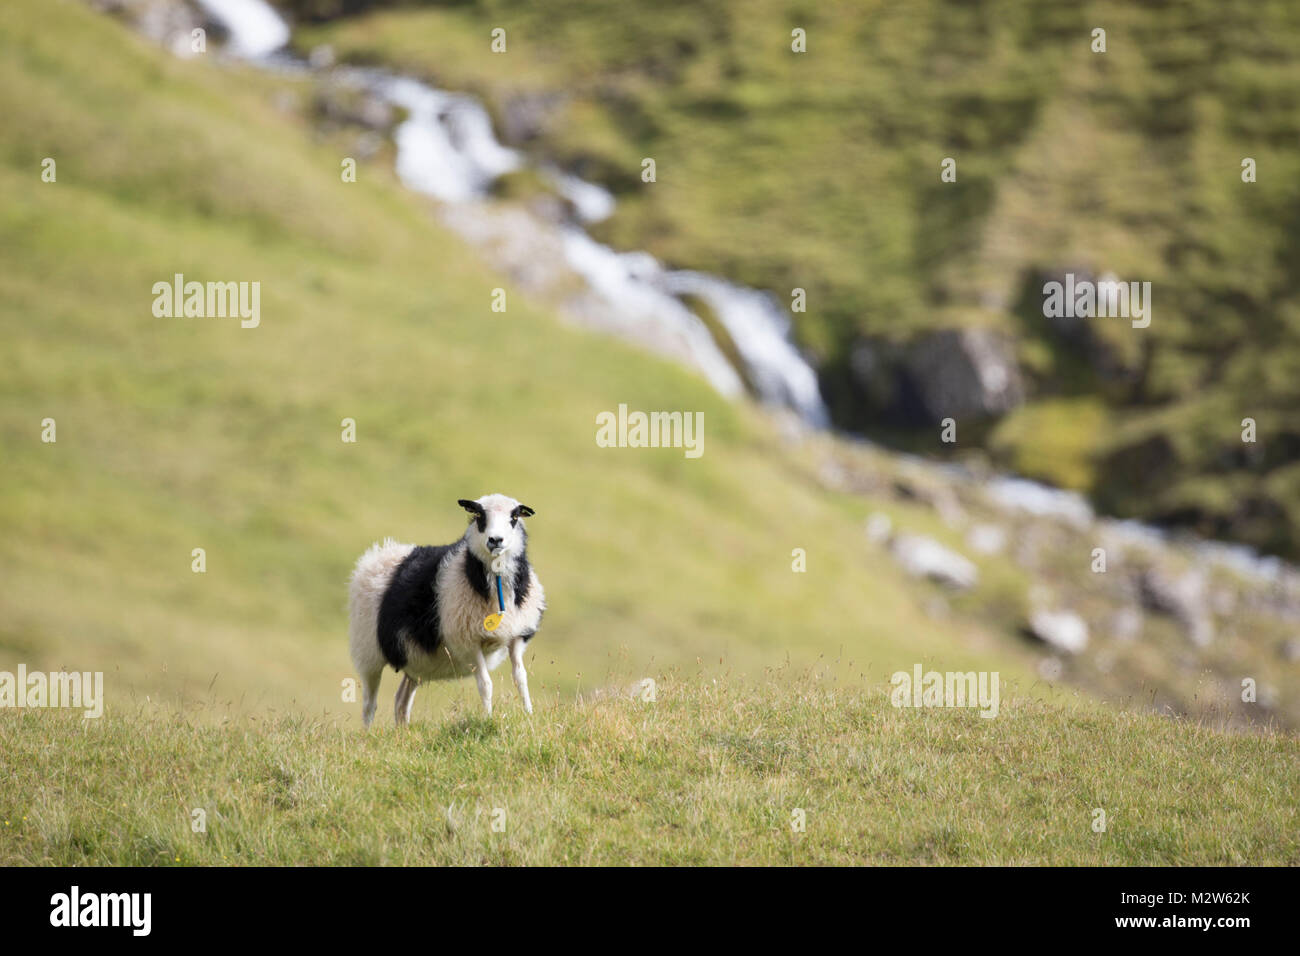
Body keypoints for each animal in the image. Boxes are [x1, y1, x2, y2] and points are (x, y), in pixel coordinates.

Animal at [348, 494, 545, 727]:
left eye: (514, 517)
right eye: (479, 515)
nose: (495, 540)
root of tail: (379, 553)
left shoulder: (516, 636)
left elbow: (520, 678)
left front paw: (529, 715)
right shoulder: (469, 643)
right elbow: (485, 685)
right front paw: (488, 719)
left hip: (415, 662)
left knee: (401, 701)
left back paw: (403, 731)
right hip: (368, 653)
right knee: (369, 704)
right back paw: (367, 732)